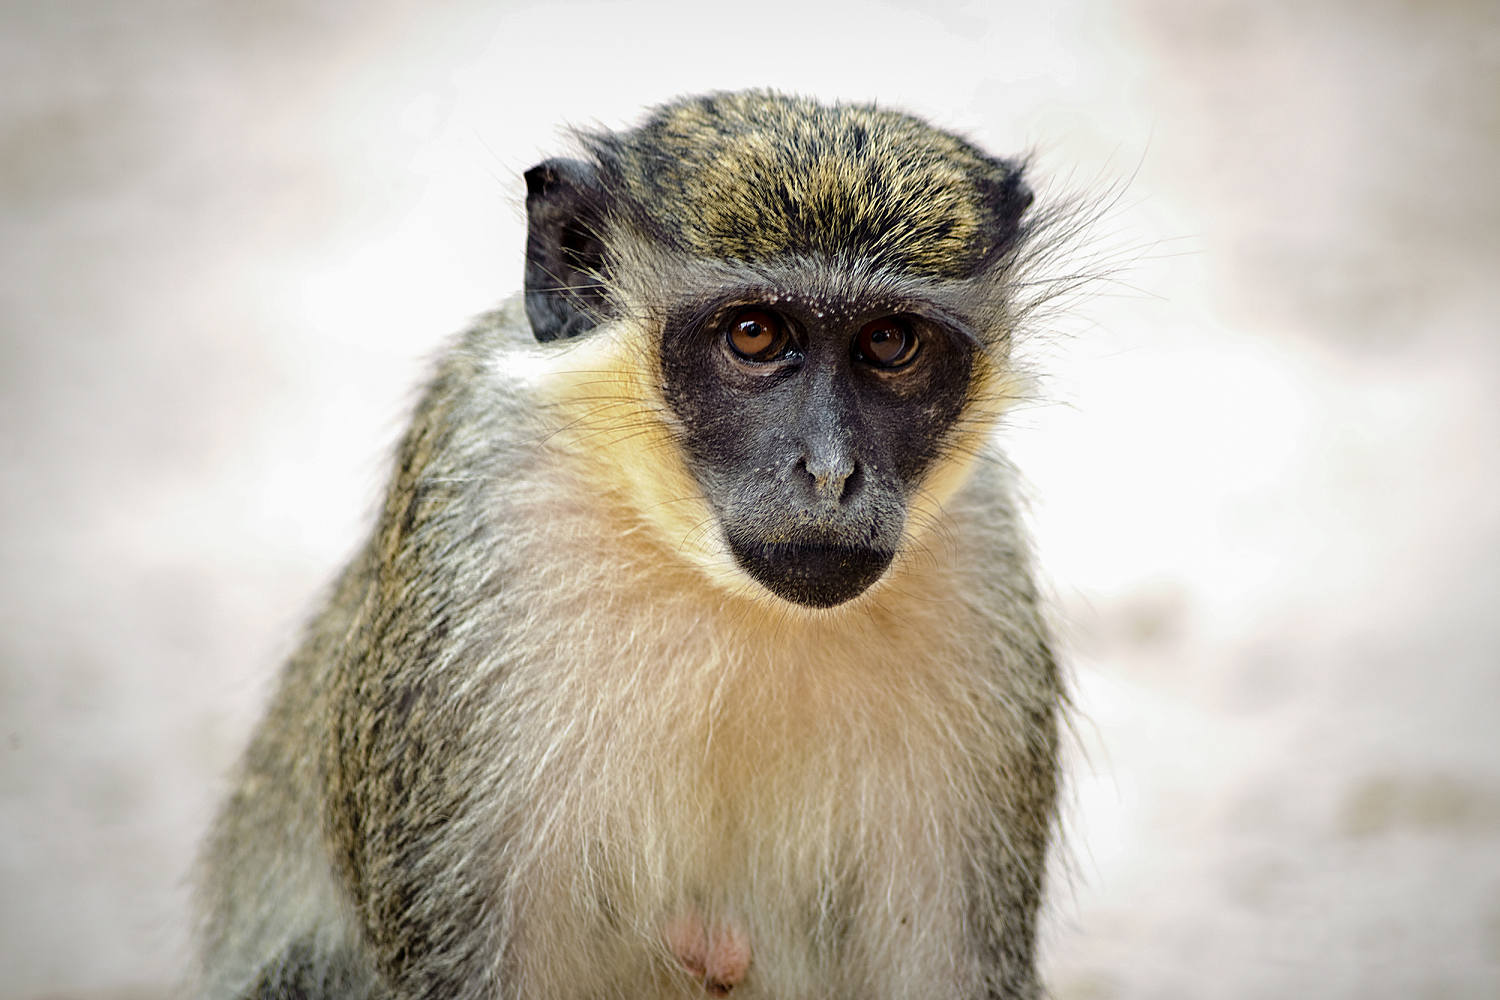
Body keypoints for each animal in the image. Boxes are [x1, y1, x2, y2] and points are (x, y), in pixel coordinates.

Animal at [193, 90, 1064, 1000]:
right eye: (754, 335)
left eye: (891, 342)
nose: (830, 473)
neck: (715, 584)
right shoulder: (476, 511)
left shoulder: (983, 565)